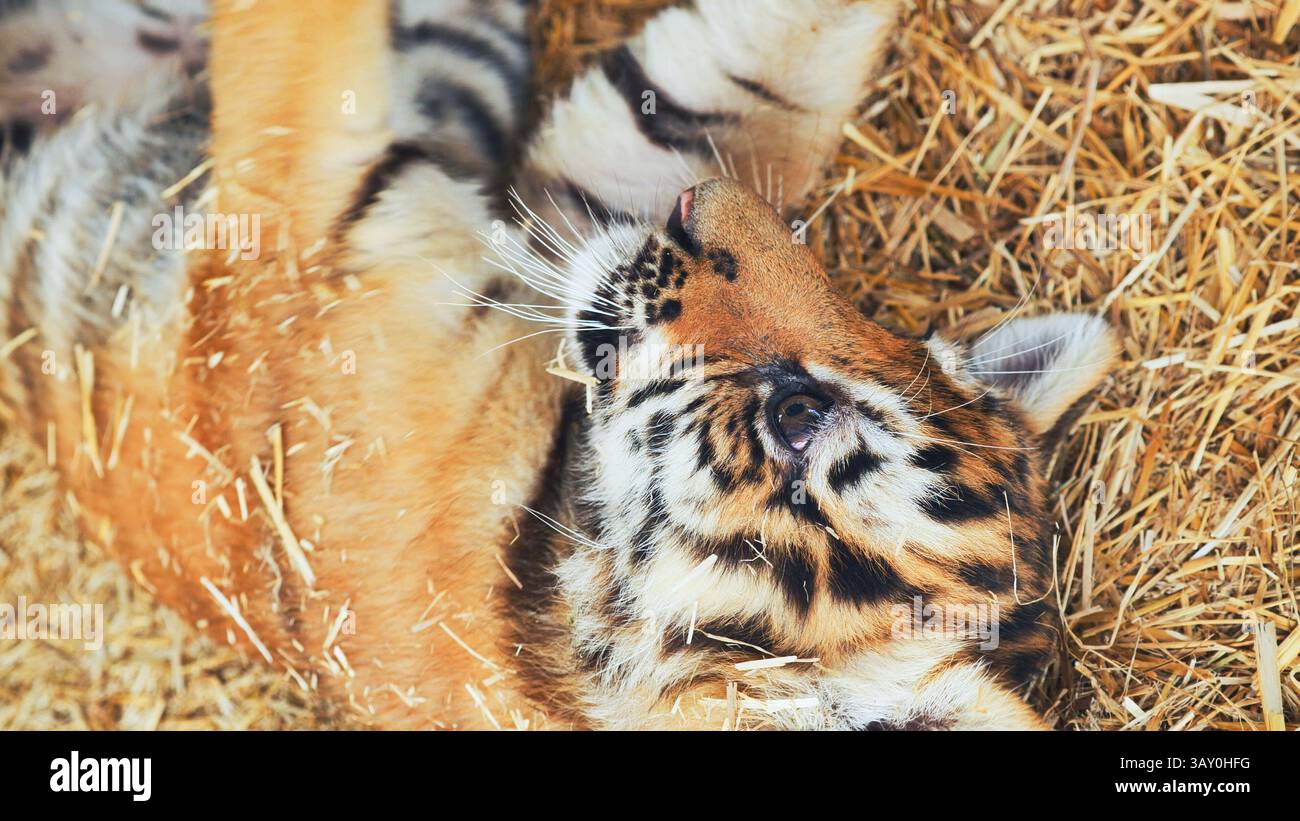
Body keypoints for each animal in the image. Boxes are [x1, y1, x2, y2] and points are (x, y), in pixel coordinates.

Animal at [0, 0, 1120, 730]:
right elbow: (763, 60)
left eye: (797, 419)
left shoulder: (299, 212)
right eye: (870, 319)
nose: (694, 207)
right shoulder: (584, 191)